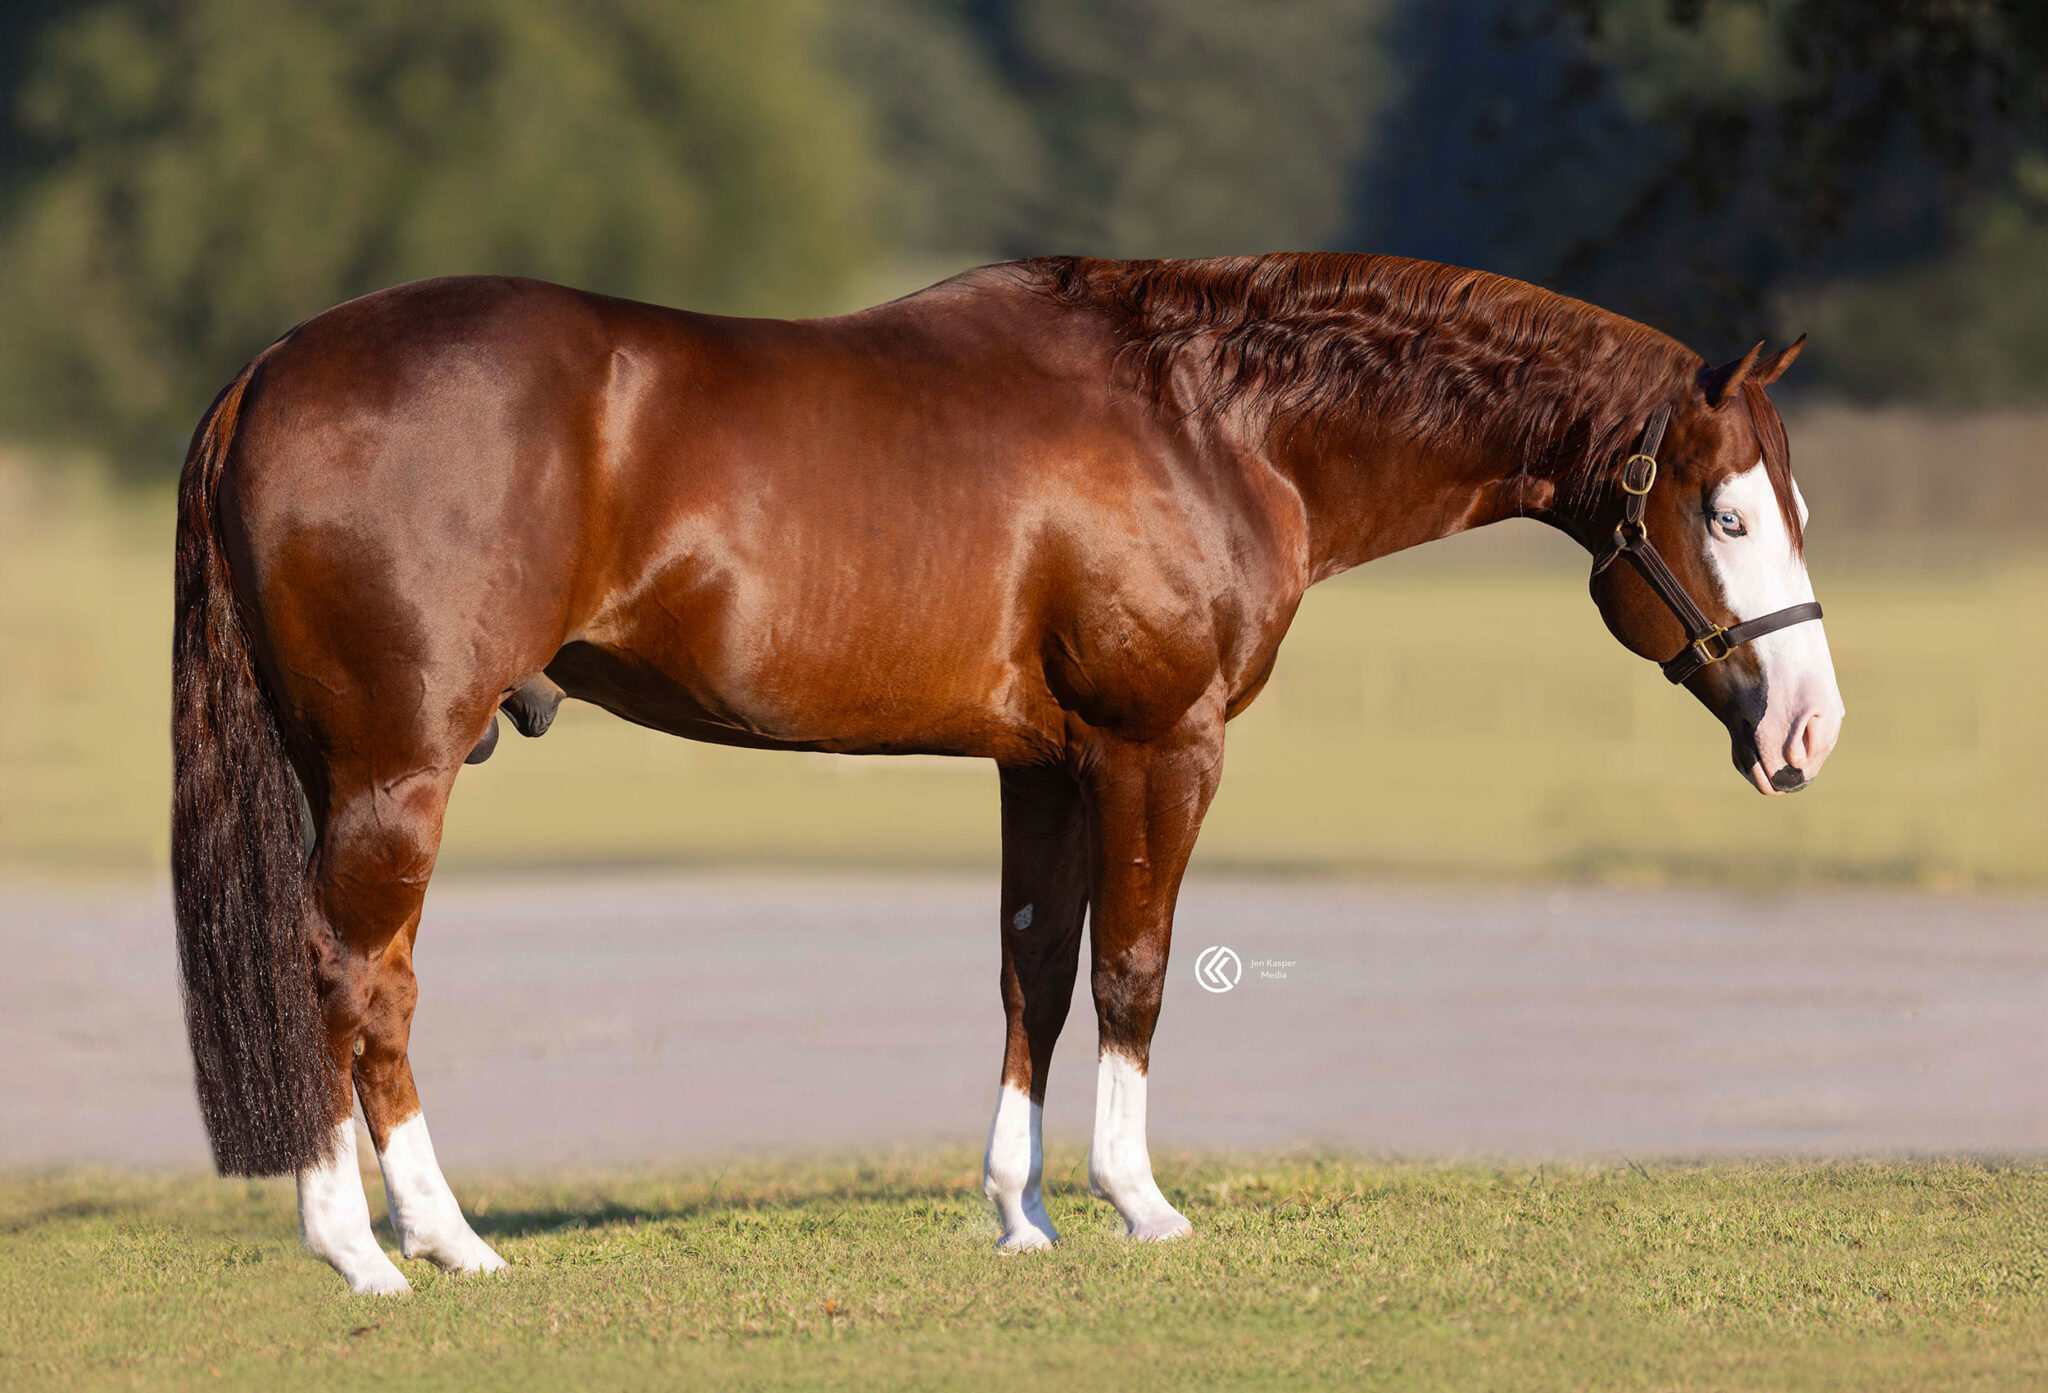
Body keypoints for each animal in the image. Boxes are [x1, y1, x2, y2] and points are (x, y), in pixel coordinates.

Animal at [170, 253, 1843, 1293]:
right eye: (1727, 512)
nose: (1809, 730)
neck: (1210, 417)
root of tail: (274, 366)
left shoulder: (1042, 764)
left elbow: (1031, 967)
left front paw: (1021, 1212)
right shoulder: (1163, 745)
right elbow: (1136, 967)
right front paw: (1139, 1201)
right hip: (398, 771)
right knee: (357, 974)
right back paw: (399, 1245)